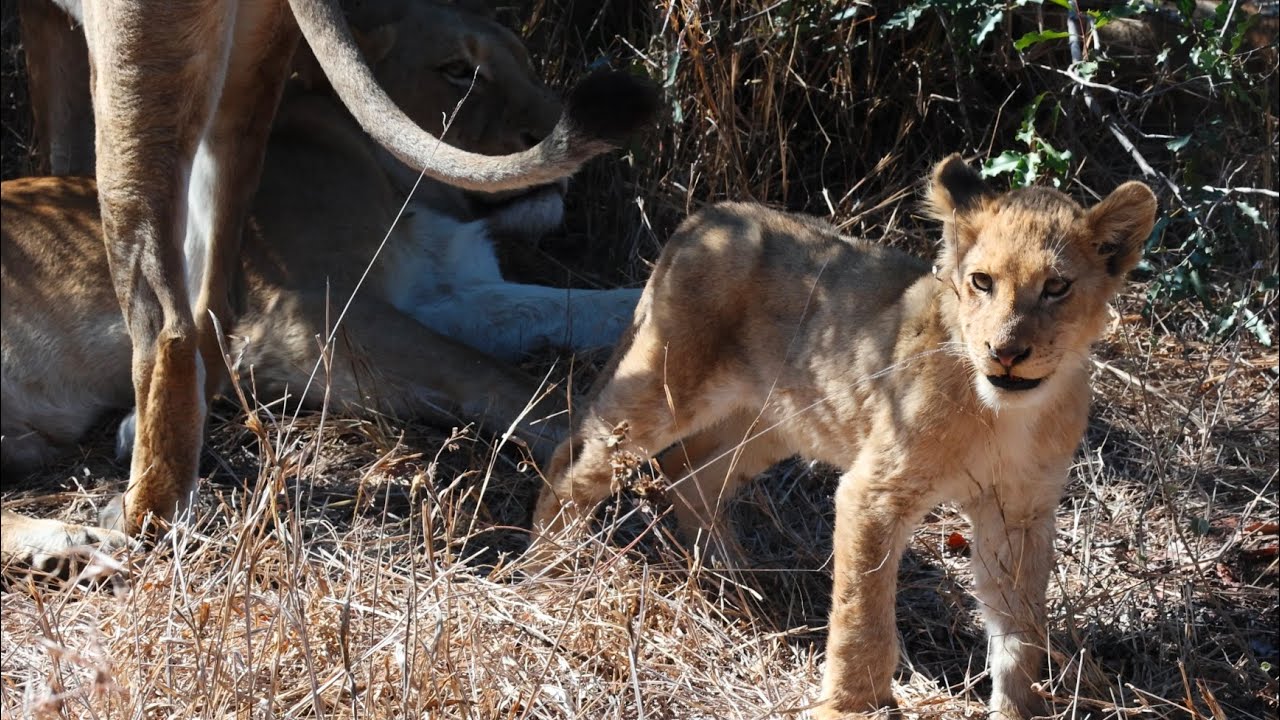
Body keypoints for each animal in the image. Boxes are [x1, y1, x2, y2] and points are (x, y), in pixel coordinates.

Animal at [2, 1, 647, 572]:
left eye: (526, 62)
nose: (544, 129)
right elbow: (494, 376)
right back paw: (90, 537)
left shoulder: (445, 294)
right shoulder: (310, 313)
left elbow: (577, 307)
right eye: (458, 71)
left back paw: (74, 541)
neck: (406, 187)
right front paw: (608, 456)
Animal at [525, 155, 1157, 719]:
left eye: (1056, 287)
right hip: (665, 383)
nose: (1006, 352)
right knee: (573, 459)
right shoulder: (874, 493)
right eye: (982, 282)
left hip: (770, 421)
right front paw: (852, 706)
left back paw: (741, 591)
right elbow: (863, 614)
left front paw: (1019, 708)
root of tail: (707, 216)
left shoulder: (1018, 511)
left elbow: (1021, 622)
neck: (1006, 414)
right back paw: (545, 574)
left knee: (689, 476)